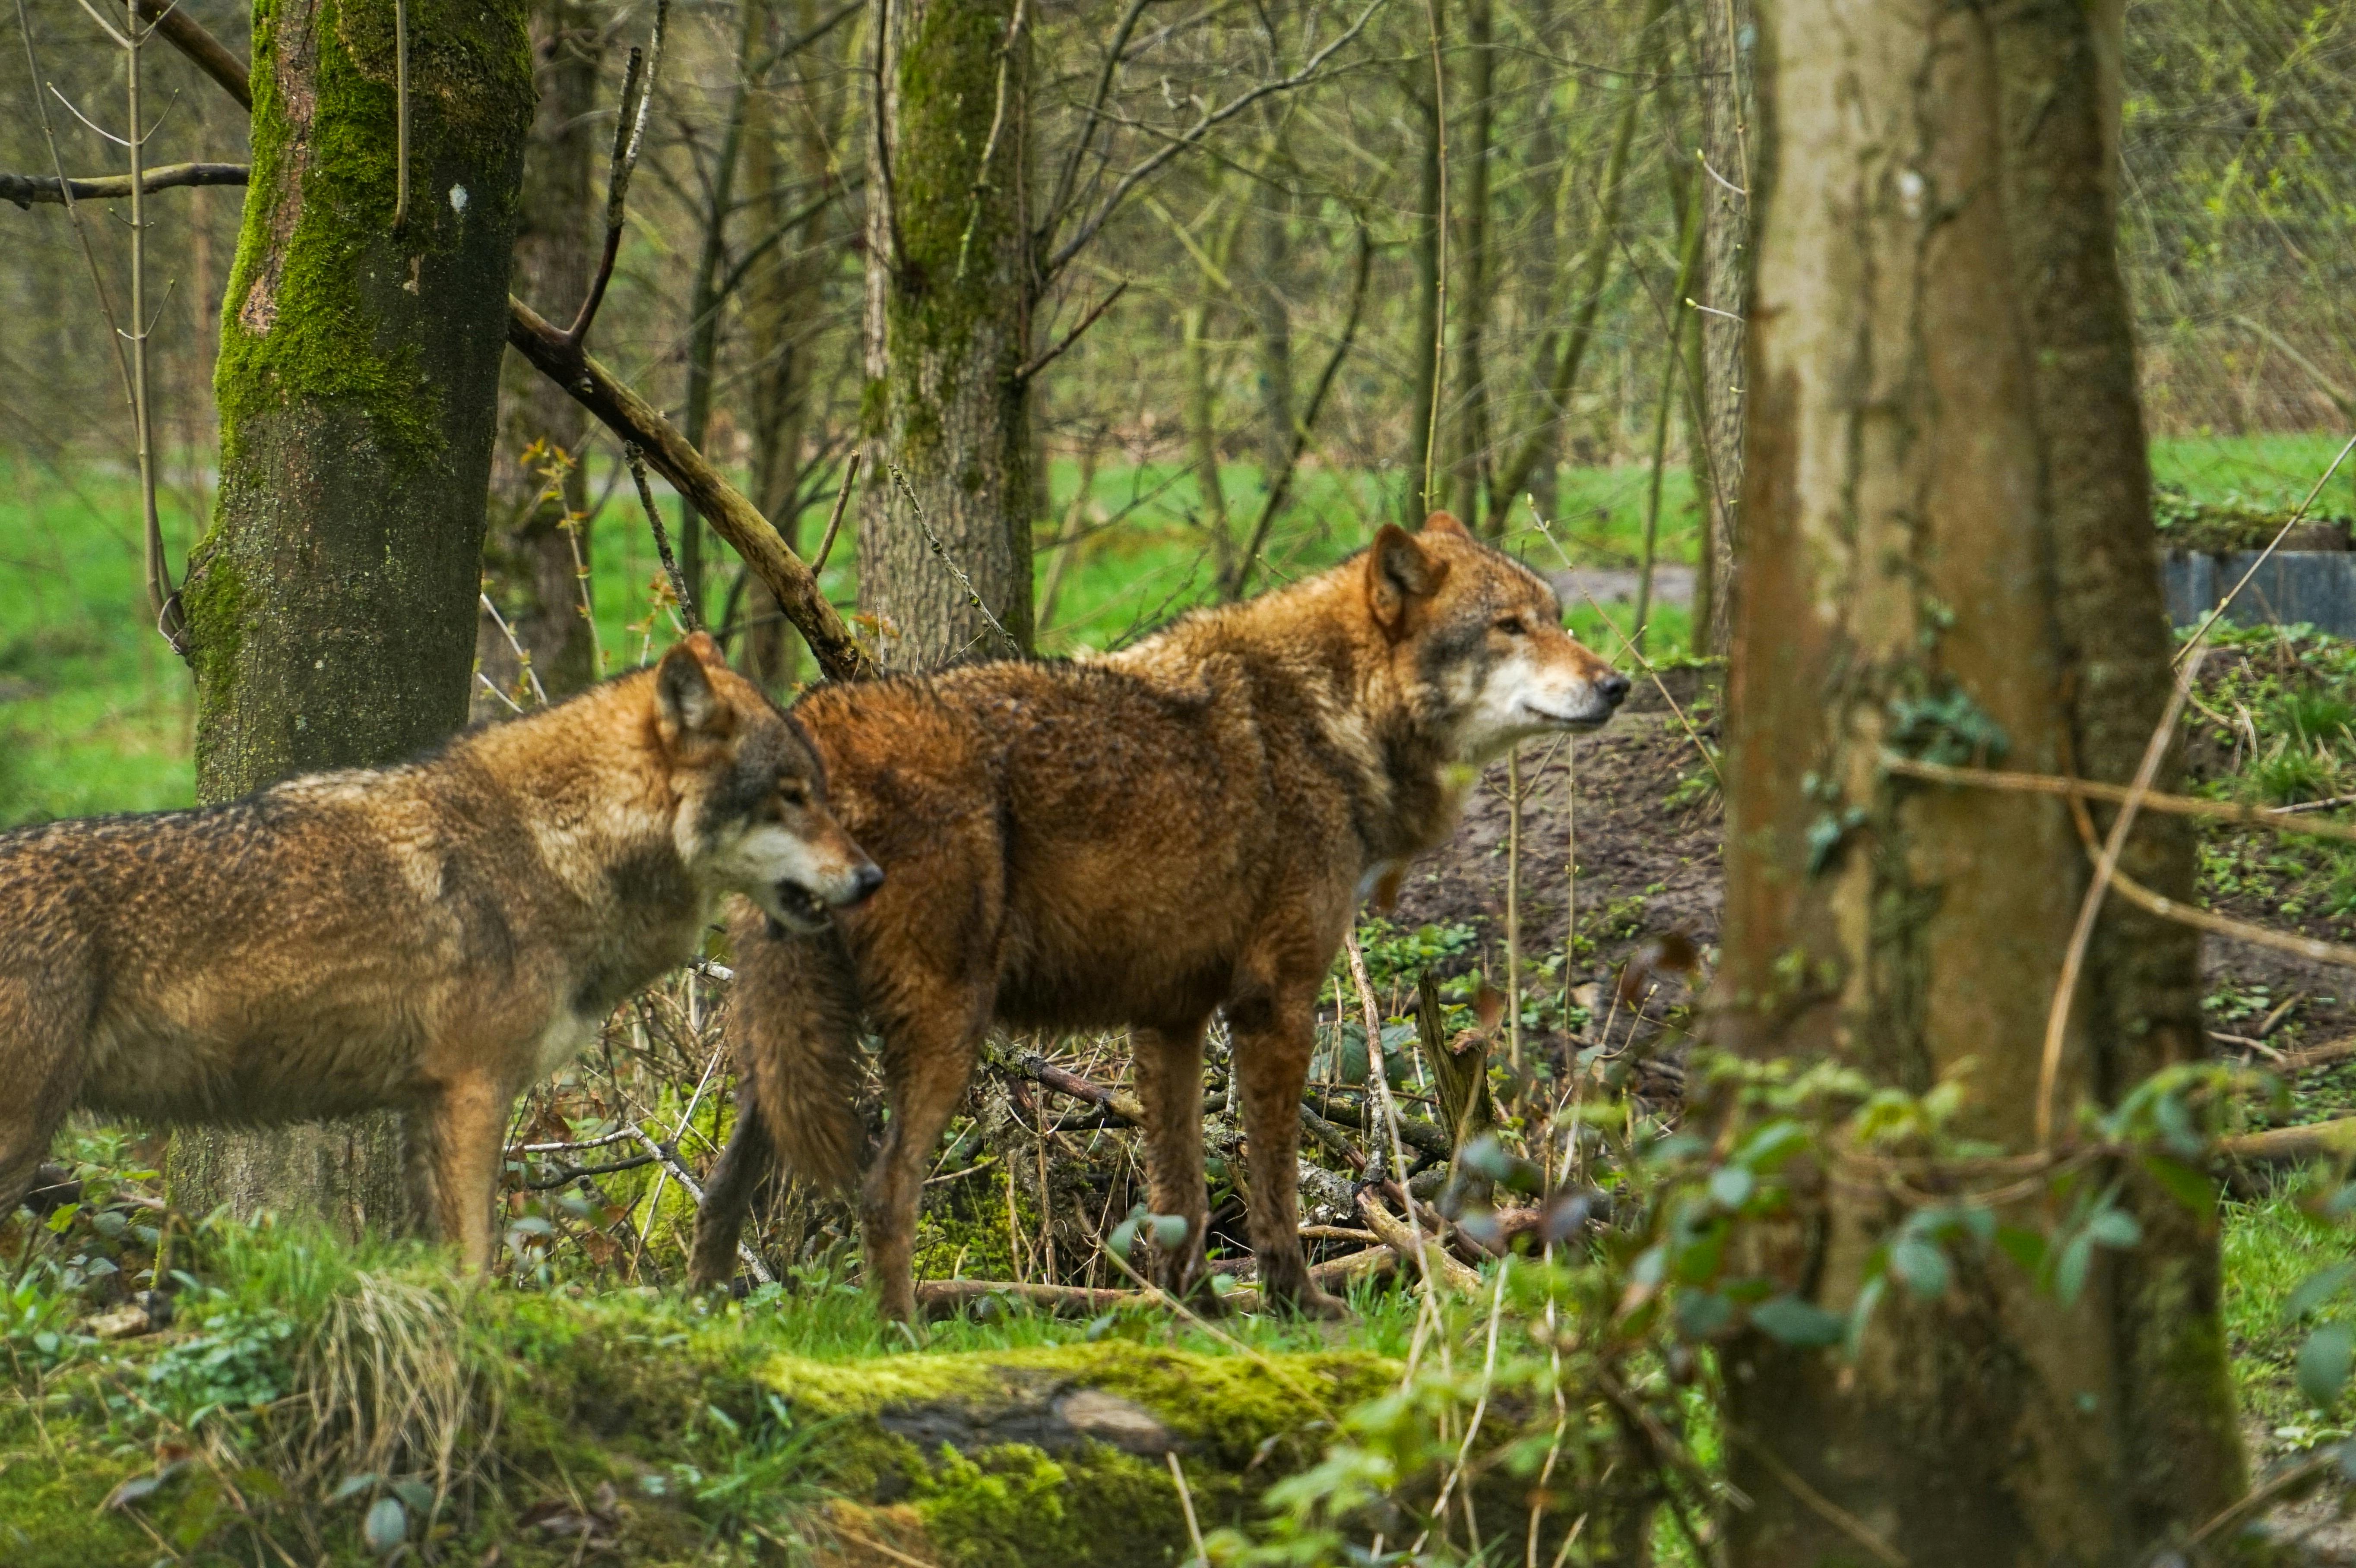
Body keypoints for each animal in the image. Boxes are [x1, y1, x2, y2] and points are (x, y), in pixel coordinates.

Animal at [0, 633, 880, 1269]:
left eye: (819, 791)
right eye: (793, 796)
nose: (872, 877)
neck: (554, 843)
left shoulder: (425, 1105)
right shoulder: (476, 1089)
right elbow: (477, 1262)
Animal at [687, 513, 1627, 1317]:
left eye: (1556, 618)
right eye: (1509, 627)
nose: (1616, 683)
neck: (1333, 713)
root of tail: (817, 723)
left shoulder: (1170, 1016)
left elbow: (1181, 1191)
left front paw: (1196, 1307)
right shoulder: (1275, 1000)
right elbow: (1272, 1181)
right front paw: (1298, 1304)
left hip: (783, 1051)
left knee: (723, 1189)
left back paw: (703, 1322)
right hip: (944, 1031)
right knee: (883, 1191)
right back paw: (901, 1336)